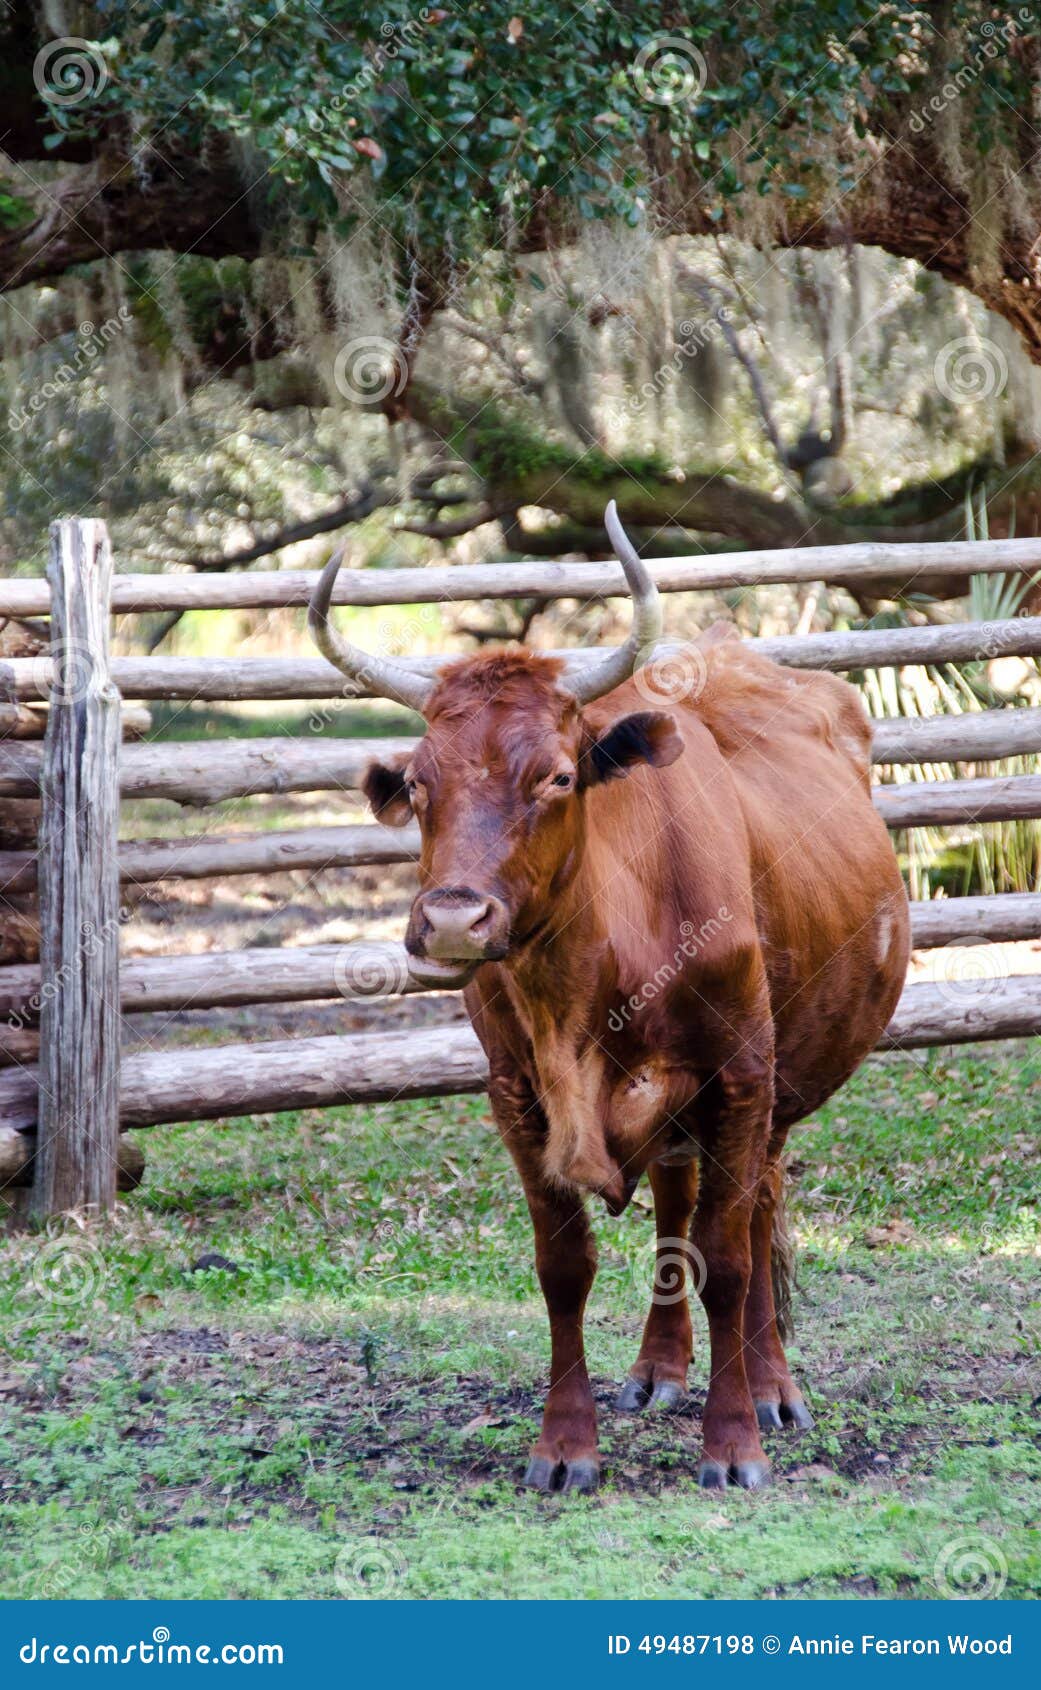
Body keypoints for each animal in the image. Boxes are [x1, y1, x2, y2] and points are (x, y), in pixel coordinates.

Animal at [309, 502, 910, 1494]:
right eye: (421, 784)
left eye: (556, 776)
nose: (452, 919)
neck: (584, 992)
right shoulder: (515, 1094)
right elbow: (565, 1265)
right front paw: (564, 1447)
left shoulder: (741, 1077)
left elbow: (730, 1261)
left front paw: (733, 1443)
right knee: (675, 1200)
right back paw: (658, 1369)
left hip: (777, 1087)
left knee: (756, 1214)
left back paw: (771, 1387)